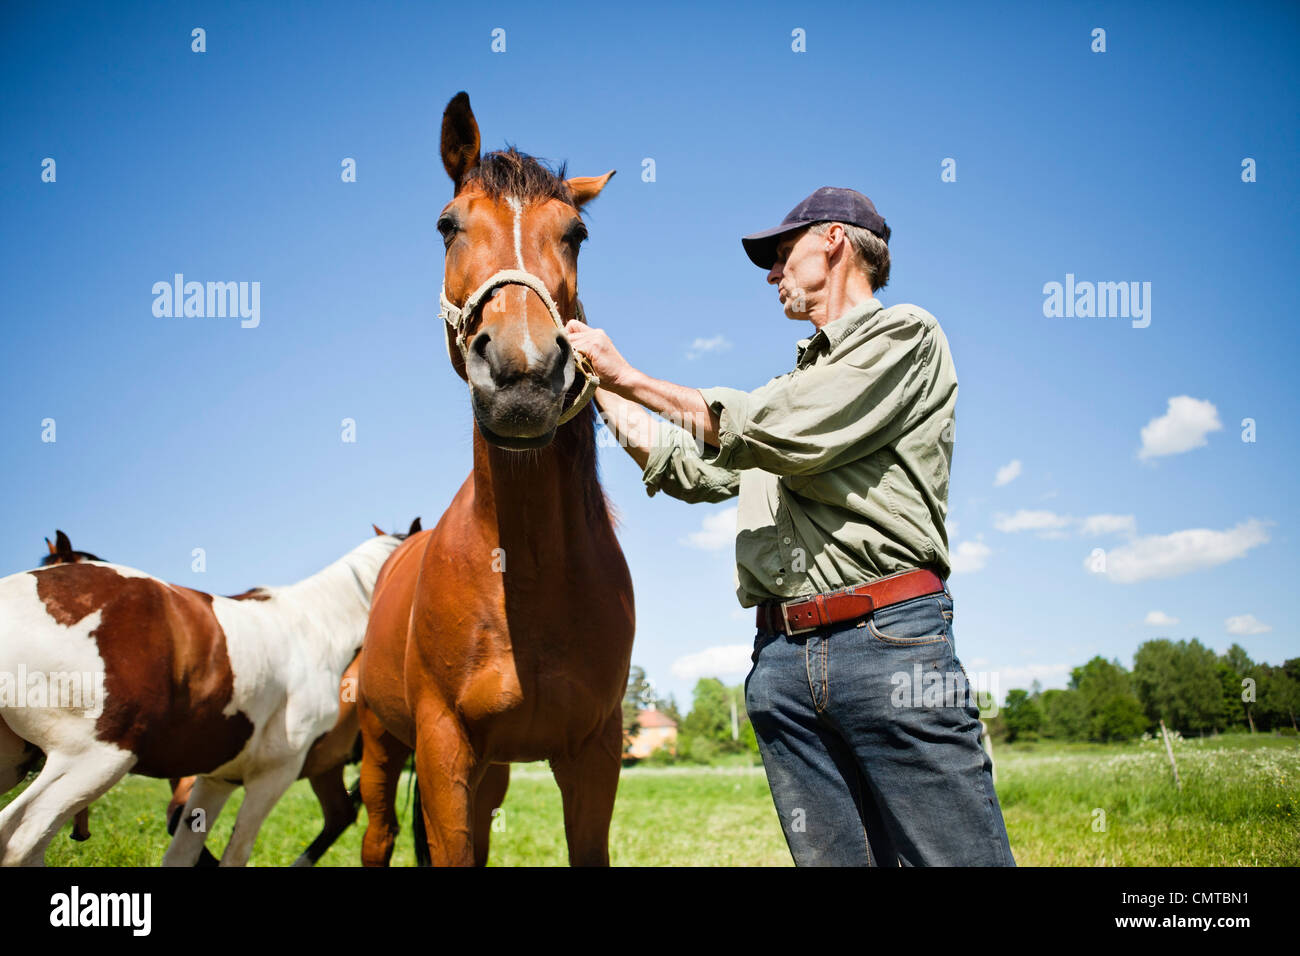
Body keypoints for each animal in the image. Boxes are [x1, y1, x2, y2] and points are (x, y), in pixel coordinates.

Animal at [0, 525, 411, 866]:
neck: (318, 627)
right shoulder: (273, 774)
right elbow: (234, 854)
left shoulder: (218, 779)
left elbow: (182, 854)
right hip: (91, 762)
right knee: (20, 841)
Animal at [356, 91, 636, 867]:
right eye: (448, 224)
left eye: (575, 234)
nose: (523, 372)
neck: (525, 571)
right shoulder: (444, 746)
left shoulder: (593, 751)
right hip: (380, 745)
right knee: (377, 837)